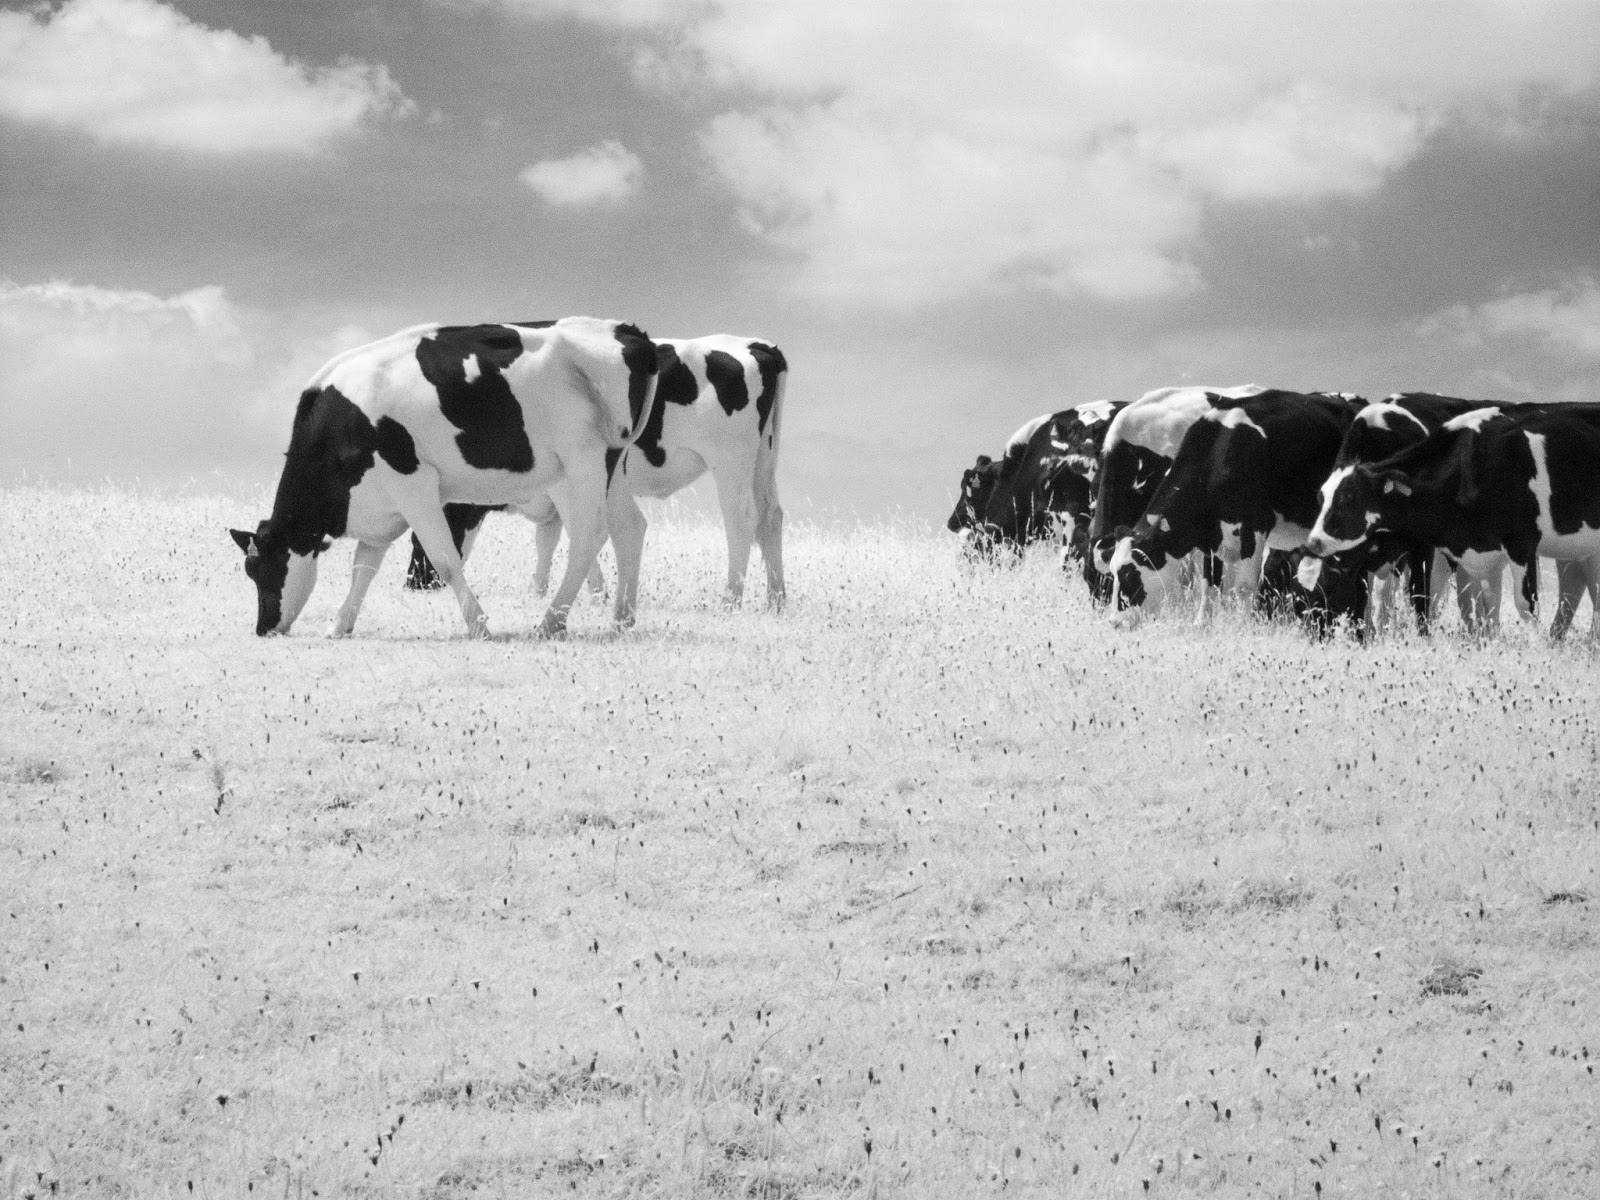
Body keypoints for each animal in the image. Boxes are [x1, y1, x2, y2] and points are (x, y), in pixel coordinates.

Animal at [228, 316, 657, 638]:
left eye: (262, 569)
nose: (263, 628)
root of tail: (626, 330)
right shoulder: (380, 505)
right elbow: (364, 567)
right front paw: (339, 625)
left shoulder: (411, 481)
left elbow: (445, 559)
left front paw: (479, 626)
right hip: (610, 464)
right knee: (629, 528)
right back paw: (622, 620)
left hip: (580, 463)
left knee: (590, 534)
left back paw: (551, 622)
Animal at [404, 335, 787, 623]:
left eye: (415, 539)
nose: (413, 583)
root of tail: (756, 344)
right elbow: (547, 540)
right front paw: (538, 590)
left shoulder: (562, 485)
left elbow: (575, 530)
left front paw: (595, 594)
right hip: (764, 459)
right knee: (771, 517)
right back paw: (776, 600)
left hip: (730, 460)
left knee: (741, 519)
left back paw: (730, 601)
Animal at [1105, 389, 1369, 625]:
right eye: (1112, 574)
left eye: (1129, 575)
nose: (1115, 622)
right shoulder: (1210, 539)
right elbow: (1209, 584)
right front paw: (1201, 624)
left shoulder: (1254, 527)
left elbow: (1243, 587)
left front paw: (1244, 628)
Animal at [1305, 402, 1600, 637]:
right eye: (1321, 497)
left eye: (1349, 497)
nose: (1313, 542)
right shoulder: (1480, 553)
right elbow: (1488, 604)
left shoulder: (1521, 543)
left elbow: (1524, 604)